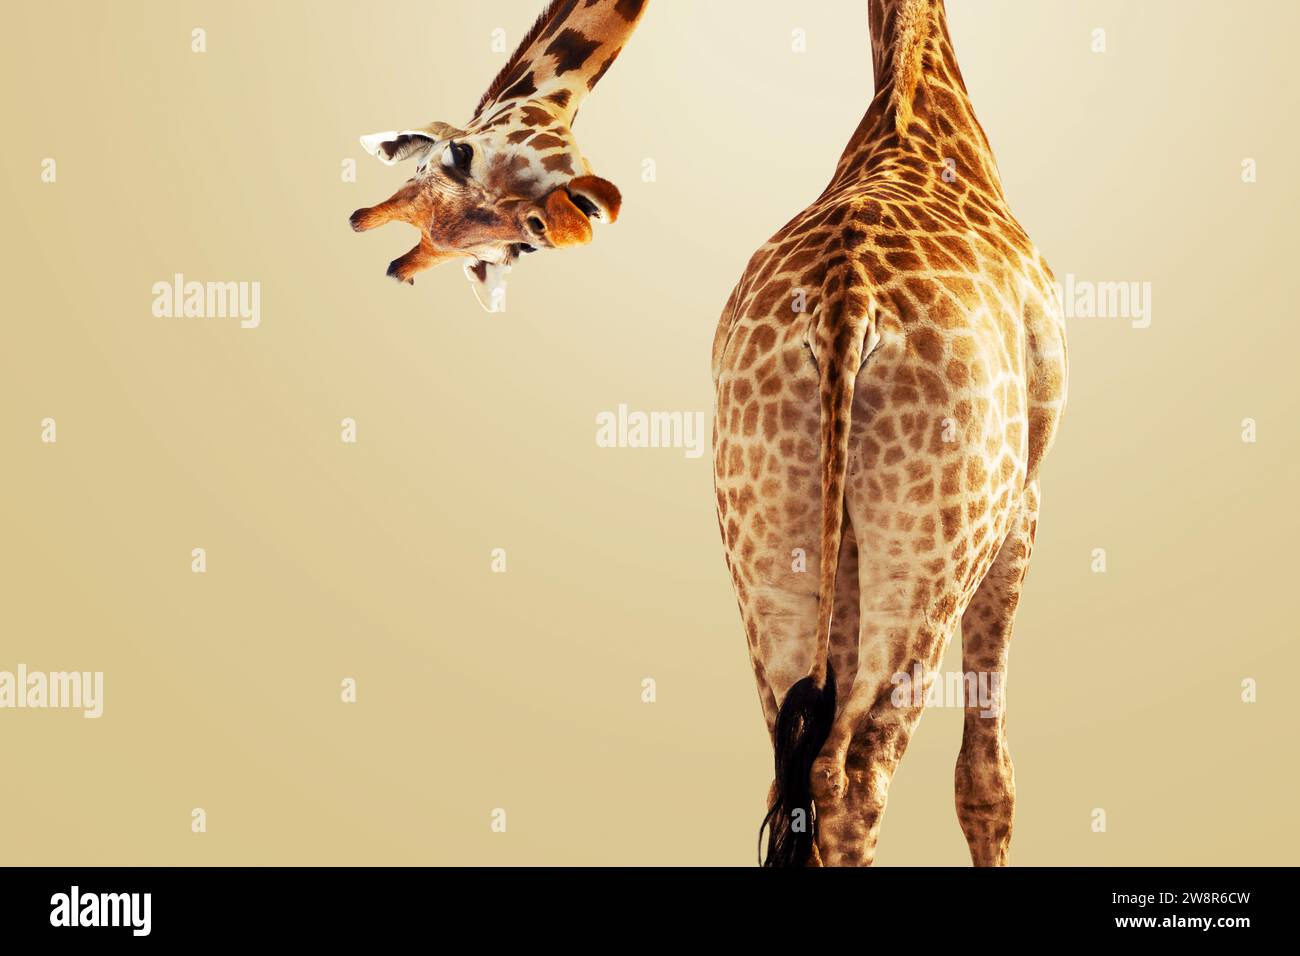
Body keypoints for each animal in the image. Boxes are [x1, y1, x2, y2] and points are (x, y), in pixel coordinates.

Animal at [712, 0, 1067, 867]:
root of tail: (845, 308)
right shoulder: (1025, 505)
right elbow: (988, 778)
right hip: (939, 549)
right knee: (856, 774)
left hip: (764, 539)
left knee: (795, 770)